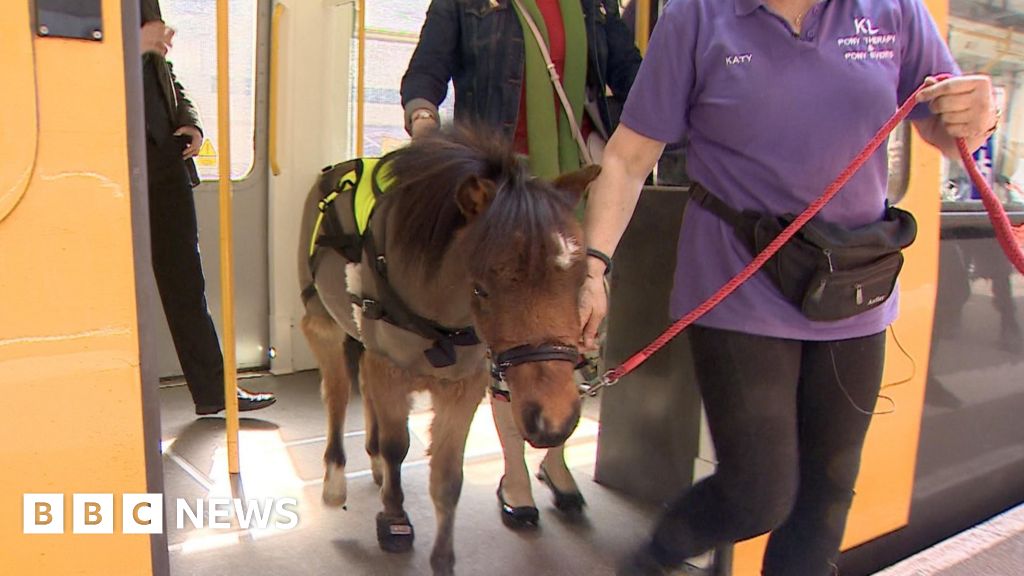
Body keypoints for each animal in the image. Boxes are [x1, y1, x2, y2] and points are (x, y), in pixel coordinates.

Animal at [297, 126, 600, 575]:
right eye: (483, 287)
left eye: (580, 279)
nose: (555, 418)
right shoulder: (390, 370)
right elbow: (397, 447)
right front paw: (394, 519)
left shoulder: (462, 387)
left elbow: (447, 477)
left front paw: (443, 557)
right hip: (323, 325)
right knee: (336, 394)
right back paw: (336, 479)